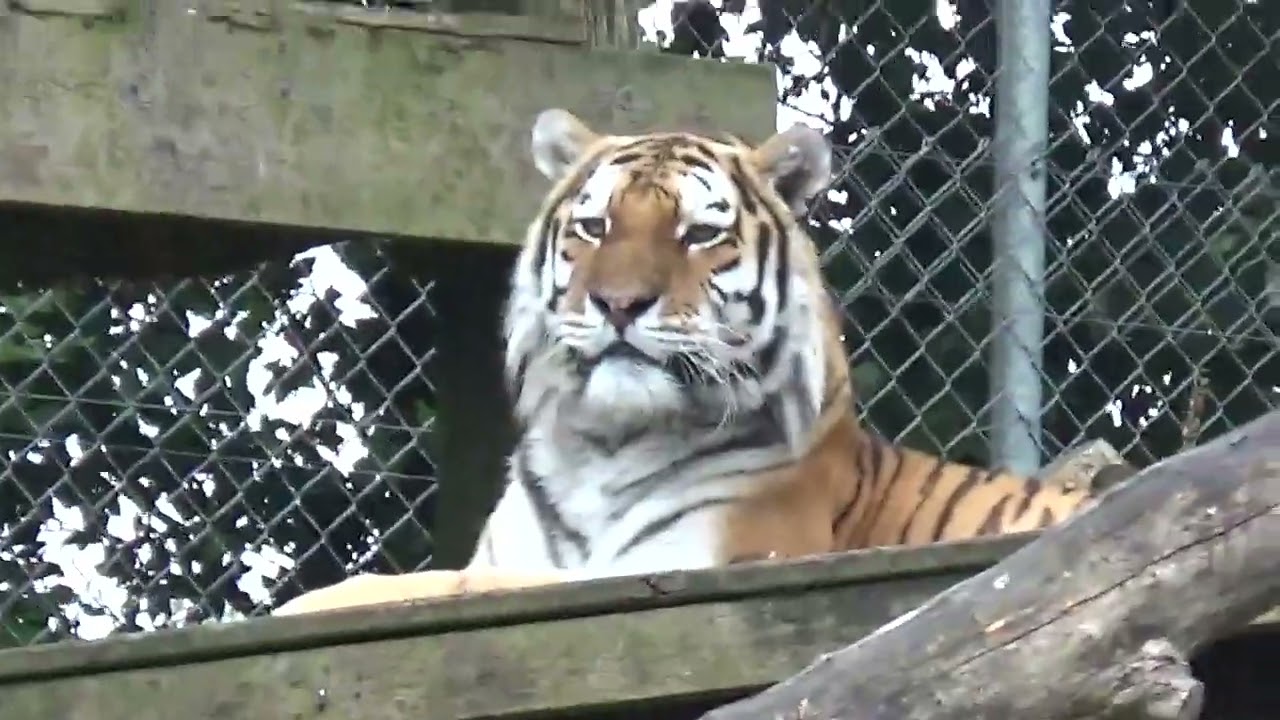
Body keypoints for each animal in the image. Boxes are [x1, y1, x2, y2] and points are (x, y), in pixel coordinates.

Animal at [274, 109, 1129, 616]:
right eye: (594, 227)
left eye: (698, 235)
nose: (618, 303)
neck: (600, 446)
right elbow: (450, 574)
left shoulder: (692, 560)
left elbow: (463, 584)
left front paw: (304, 606)